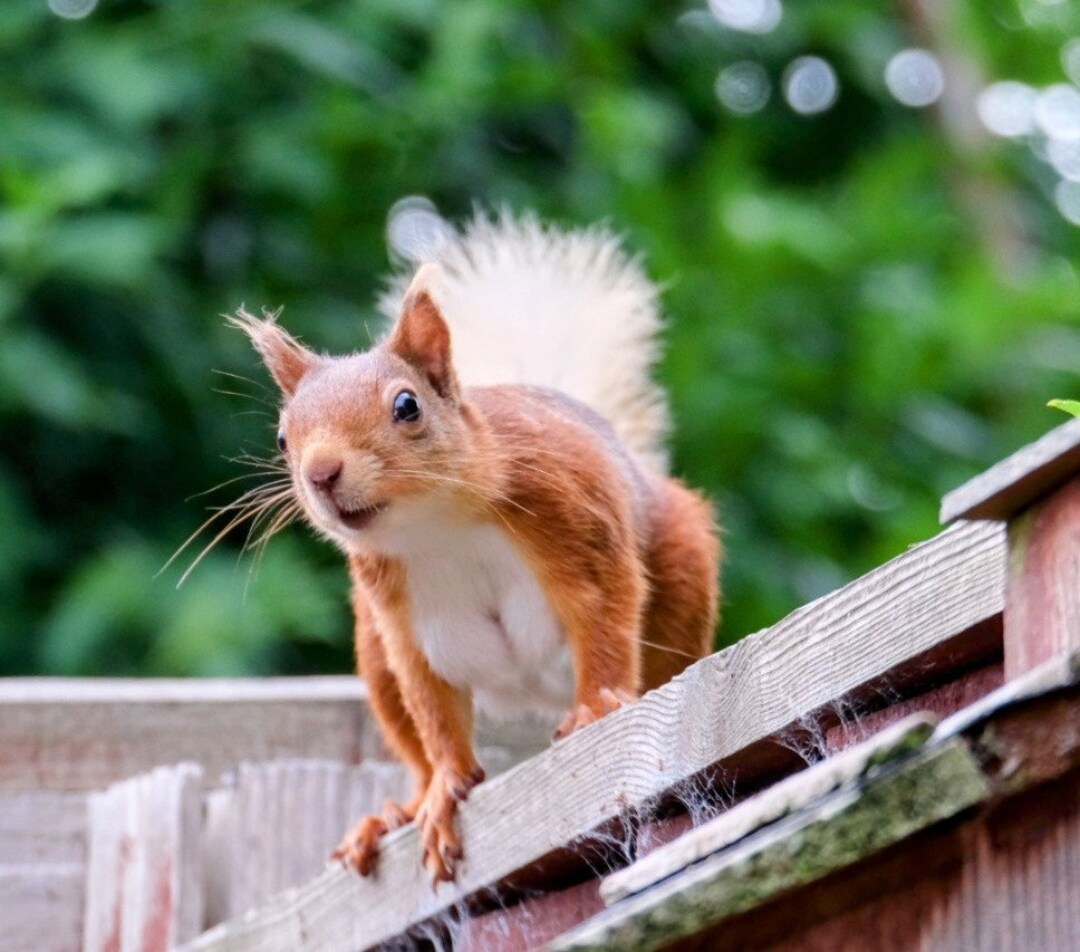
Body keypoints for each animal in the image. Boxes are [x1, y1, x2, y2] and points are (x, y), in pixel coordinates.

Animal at [230, 214, 721, 883]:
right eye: (283, 438)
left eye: (406, 405)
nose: (321, 473)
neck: (437, 527)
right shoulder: (398, 621)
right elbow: (431, 702)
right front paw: (446, 786)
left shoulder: (573, 514)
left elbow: (602, 616)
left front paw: (596, 707)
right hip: (374, 660)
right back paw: (398, 812)